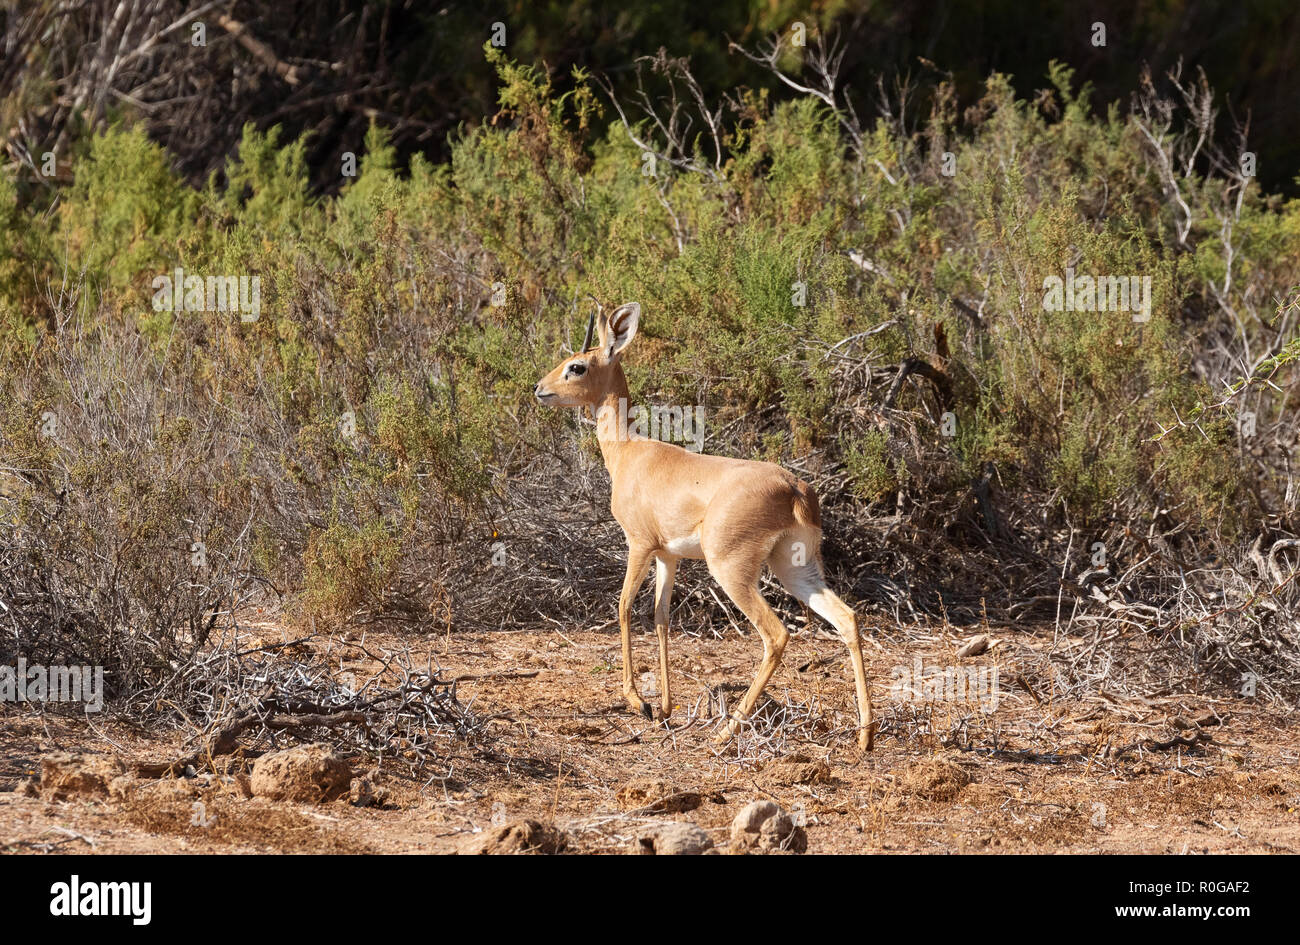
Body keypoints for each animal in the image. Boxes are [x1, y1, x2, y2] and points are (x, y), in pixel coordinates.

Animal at [534, 302, 874, 750]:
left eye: (577, 366)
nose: (539, 388)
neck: (629, 453)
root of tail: (795, 488)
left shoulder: (638, 544)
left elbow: (623, 607)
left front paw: (638, 702)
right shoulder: (668, 556)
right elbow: (660, 617)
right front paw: (662, 708)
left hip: (731, 571)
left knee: (776, 635)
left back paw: (726, 731)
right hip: (795, 569)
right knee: (846, 617)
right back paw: (865, 737)